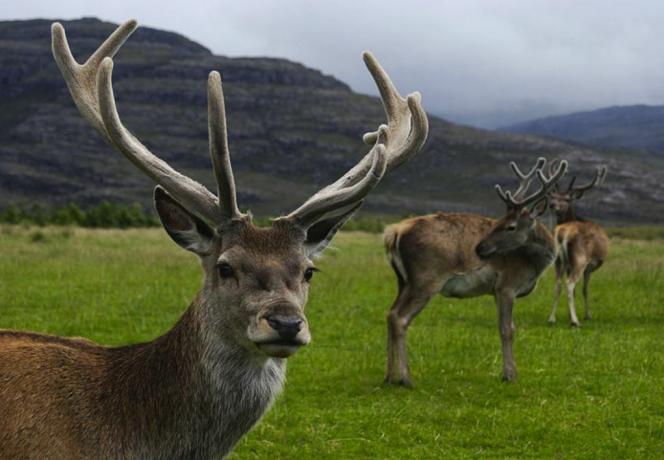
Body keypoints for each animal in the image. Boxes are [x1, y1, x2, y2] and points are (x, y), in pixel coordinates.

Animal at [384, 158, 564, 384]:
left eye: (510, 226)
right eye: (499, 221)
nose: (479, 248)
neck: (533, 265)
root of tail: (393, 233)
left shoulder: (496, 291)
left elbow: (509, 327)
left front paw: (511, 371)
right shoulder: (507, 285)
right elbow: (507, 329)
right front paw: (509, 375)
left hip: (403, 280)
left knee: (390, 313)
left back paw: (389, 377)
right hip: (426, 279)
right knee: (400, 318)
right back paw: (406, 378)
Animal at [548, 164, 608, 326]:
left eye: (567, 198)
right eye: (554, 197)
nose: (552, 205)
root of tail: (562, 233)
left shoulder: (569, 265)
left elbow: (577, 291)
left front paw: (569, 315)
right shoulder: (588, 267)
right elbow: (584, 289)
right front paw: (587, 315)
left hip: (558, 260)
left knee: (557, 284)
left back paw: (551, 318)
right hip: (580, 258)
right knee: (569, 284)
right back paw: (575, 321)